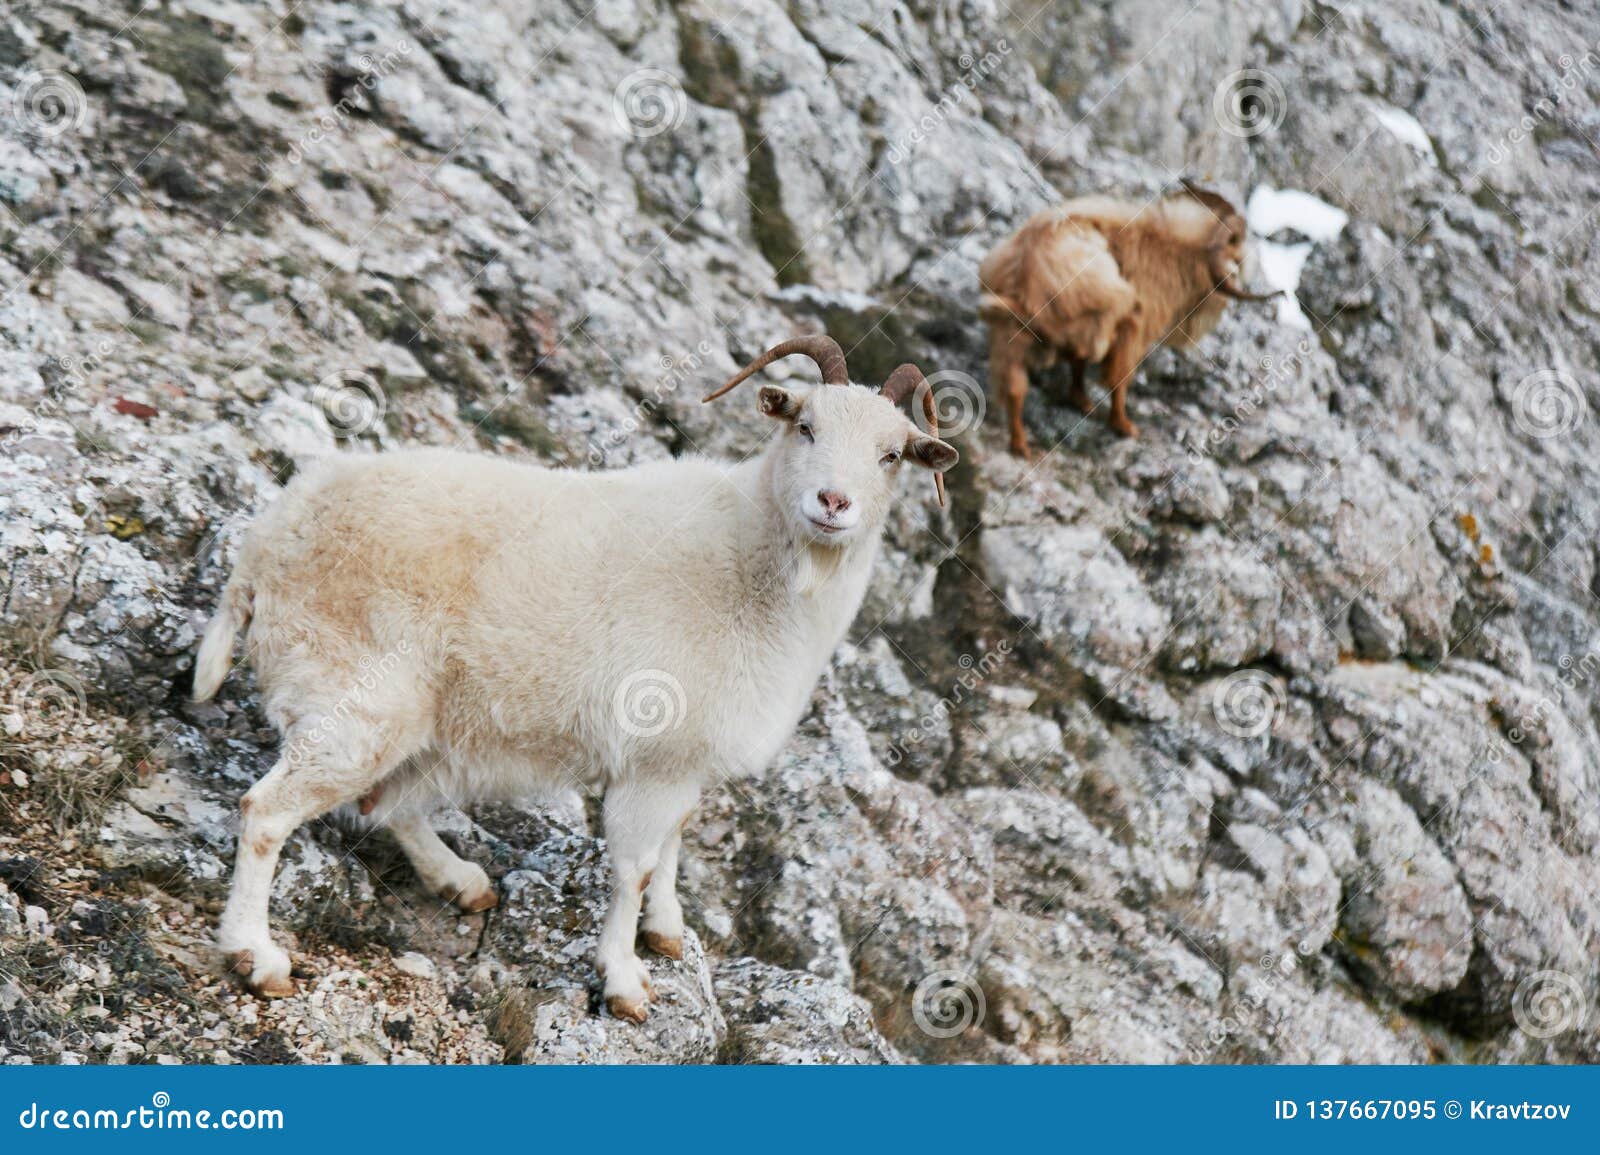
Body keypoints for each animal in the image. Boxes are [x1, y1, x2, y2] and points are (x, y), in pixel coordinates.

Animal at [190, 336, 957, 1021]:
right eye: (805, 425)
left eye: (892, 455)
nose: (833, 502)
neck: (754, 565)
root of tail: (264, 546)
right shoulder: (654, 759)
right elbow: (634, 865)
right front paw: (624, 983)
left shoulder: (683, 762)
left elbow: (673, 845)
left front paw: (667, 933)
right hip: (355, 702)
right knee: (267, 812)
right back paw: (257, 957)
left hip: (426, 722)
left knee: (386, 803)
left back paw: (461, 881)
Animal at [979, 180, 1277, 456]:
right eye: (1237, 250)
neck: (1176, 251)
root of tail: (1024, 279)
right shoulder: (1138, 329)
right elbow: (1119, 376)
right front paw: (1122, 425)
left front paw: (1081, 400)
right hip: (1108, 301)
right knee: (1098, 352)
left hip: (1009, 338)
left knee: (1016, 387)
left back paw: (1021, 445)